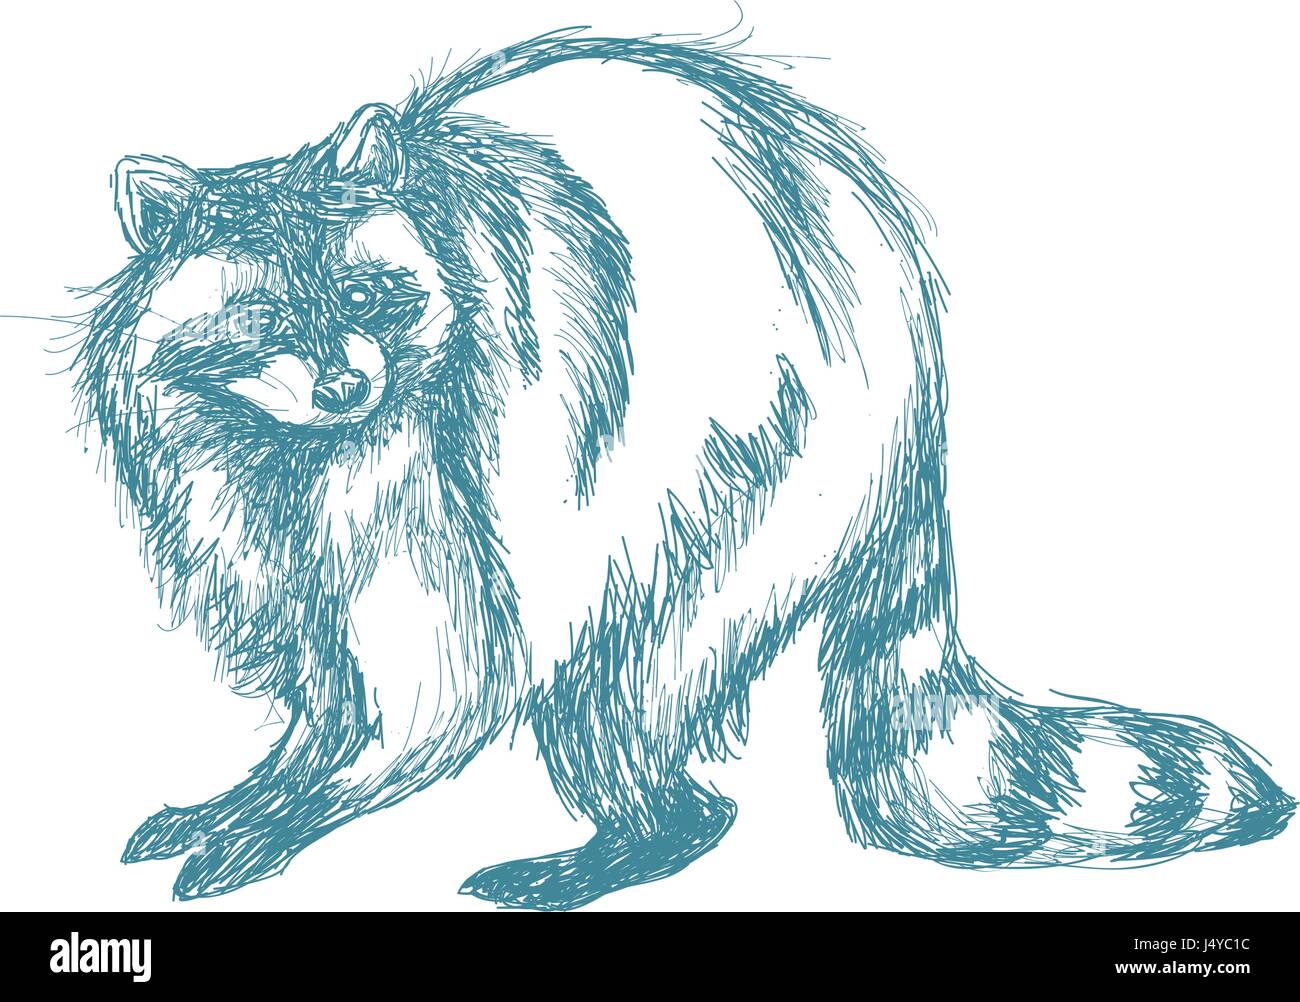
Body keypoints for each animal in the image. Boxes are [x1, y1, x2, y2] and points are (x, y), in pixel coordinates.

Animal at [71, 28, 1292, 909]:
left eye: (369, 297)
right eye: (266, 321)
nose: (343, 389)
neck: (288, 442)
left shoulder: (437, 467)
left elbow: (448, 686)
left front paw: (288, 810)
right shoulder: (230, 497)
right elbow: (324, 663)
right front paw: (273, 776)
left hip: (740, 467)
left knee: (620, 672)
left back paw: (639, 831)